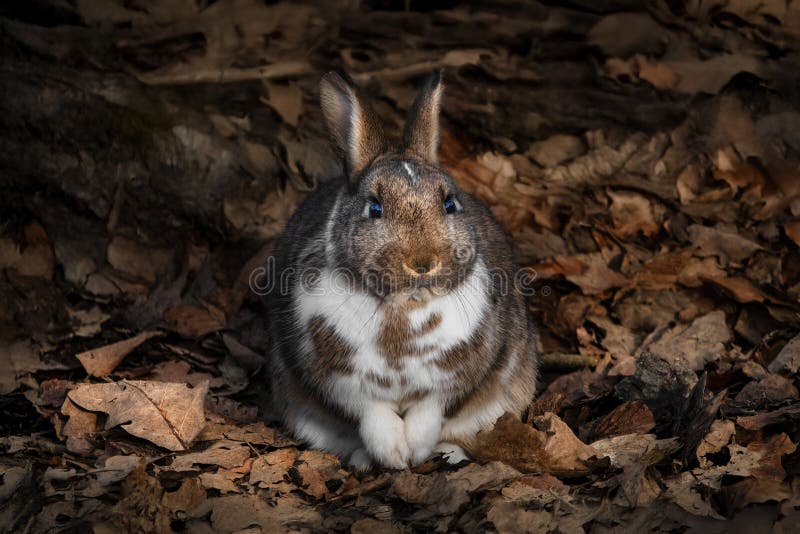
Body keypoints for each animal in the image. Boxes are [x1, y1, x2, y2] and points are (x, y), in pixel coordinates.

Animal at [266, 70, 538, 469]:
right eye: (374, 208)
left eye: (450, 203)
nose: (423, 263)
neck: (405, 307)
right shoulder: (341, 382)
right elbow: (373, 415)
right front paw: (393, 455)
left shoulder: (449, 383)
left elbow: (429, 414)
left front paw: (417, 451)